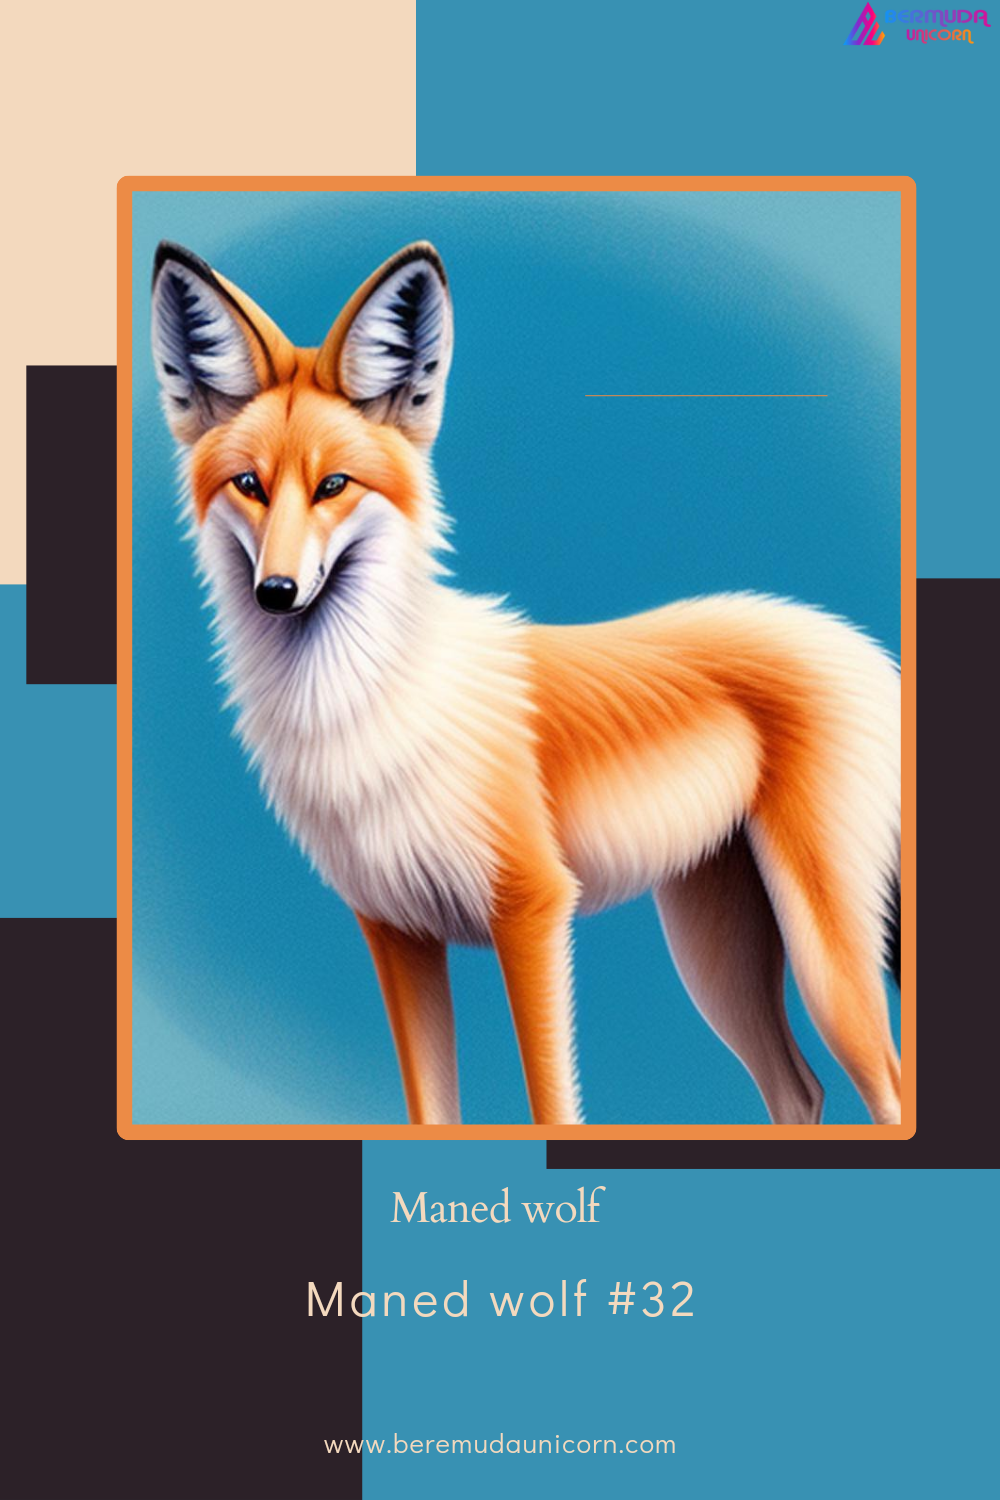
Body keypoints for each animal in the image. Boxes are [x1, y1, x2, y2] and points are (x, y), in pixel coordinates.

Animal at [151, 239, 901, 1126]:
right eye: (250, 486)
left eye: (334, 486)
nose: (278, 591)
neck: (366, 714)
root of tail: (852, 638)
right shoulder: (397, 933)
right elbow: (432, 1117)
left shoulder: (534, 911)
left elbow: (553, 1107)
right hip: (713, 950)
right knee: (799, 1091)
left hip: (823, 956)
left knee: (887, 1087)